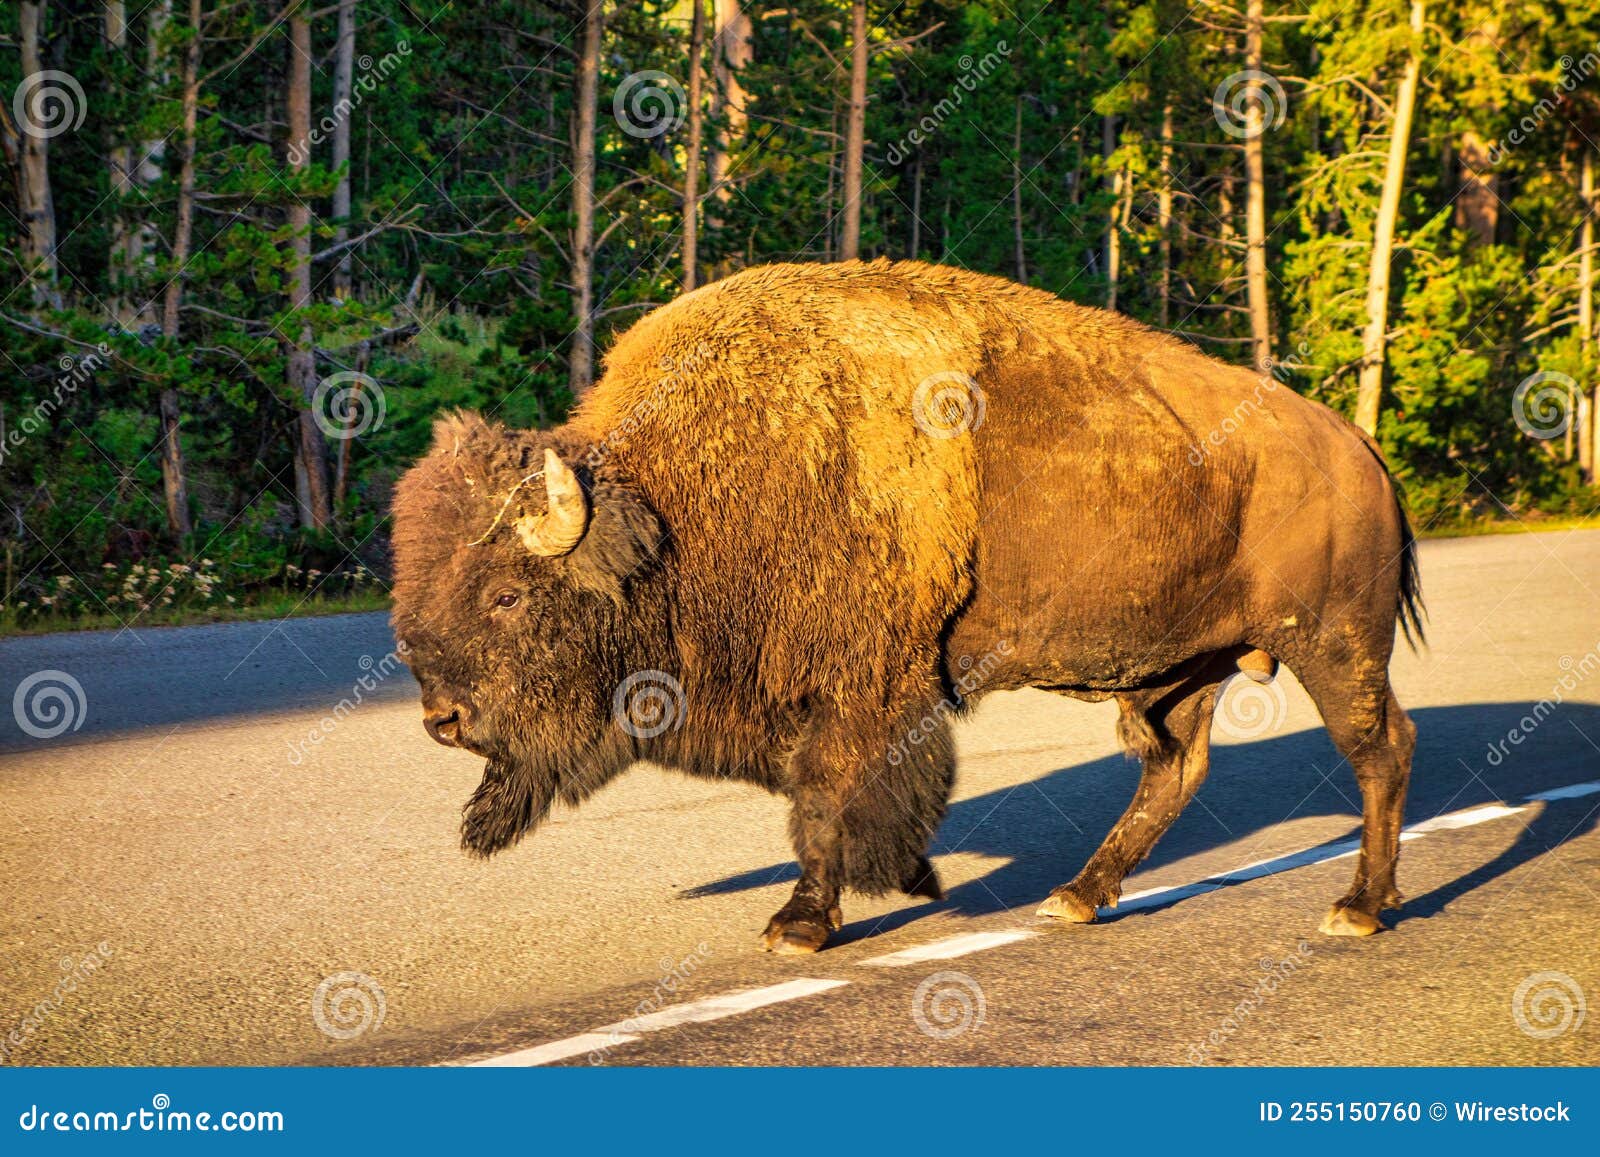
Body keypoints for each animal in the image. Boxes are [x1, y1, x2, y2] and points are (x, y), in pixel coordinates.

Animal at [391, 259, 1422, 954]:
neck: (675, 508)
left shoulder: (862, 685)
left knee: (1380, 749)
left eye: (508, 593)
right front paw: (910, 875)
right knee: (1176, 770)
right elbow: (840, 797)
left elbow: (826, 795)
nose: (441, 719)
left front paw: (801, 922)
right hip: (1179, 670)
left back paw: (1359, 908)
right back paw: (1076, 897)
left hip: (1332, 643)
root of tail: (1356, 447)